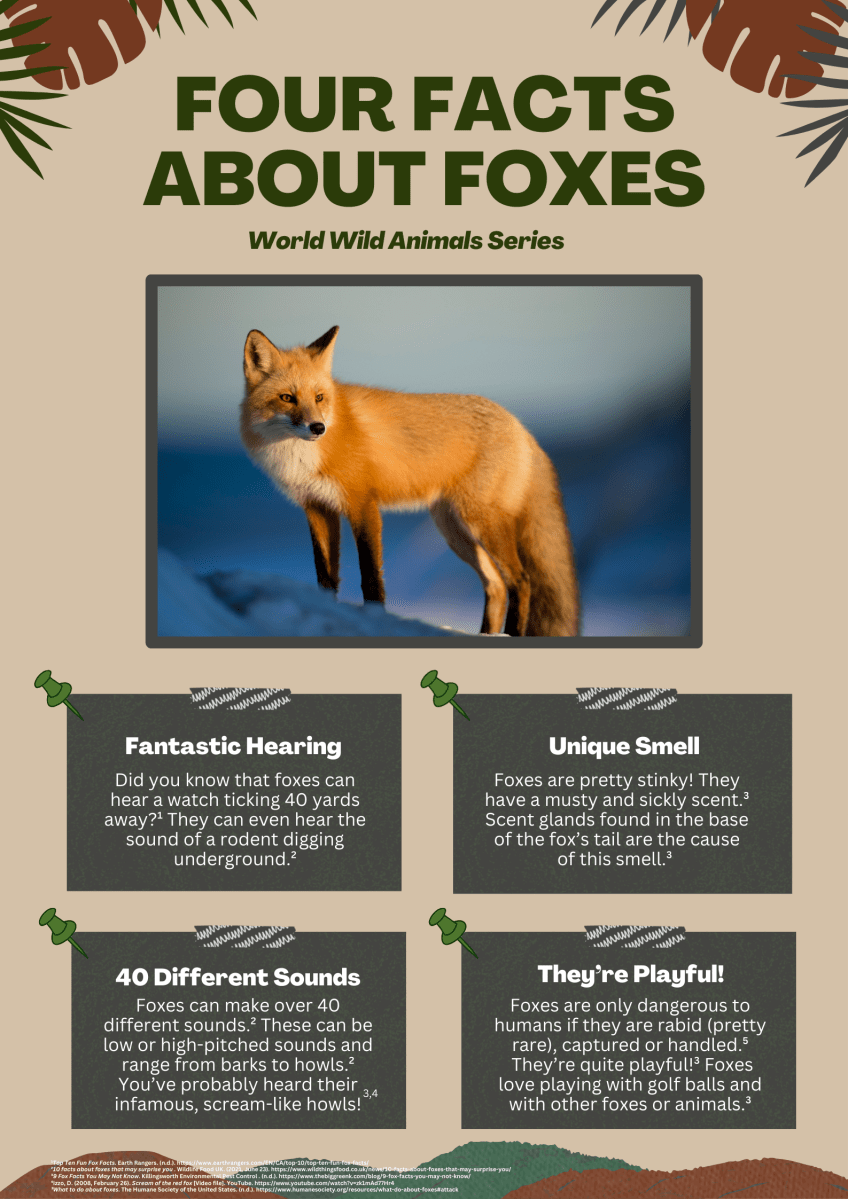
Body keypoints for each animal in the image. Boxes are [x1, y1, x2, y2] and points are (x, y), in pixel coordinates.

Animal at [240, 325, 580, 636]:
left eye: (319, 397)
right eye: (287, 398)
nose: (318, 428)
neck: (301, 456)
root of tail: (520, 426)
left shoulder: (363, 505)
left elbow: (371, 577)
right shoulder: (317, 508)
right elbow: (326, 577)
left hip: (481, 522)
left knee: (521, 582)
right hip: (455, 531)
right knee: (495, 585)